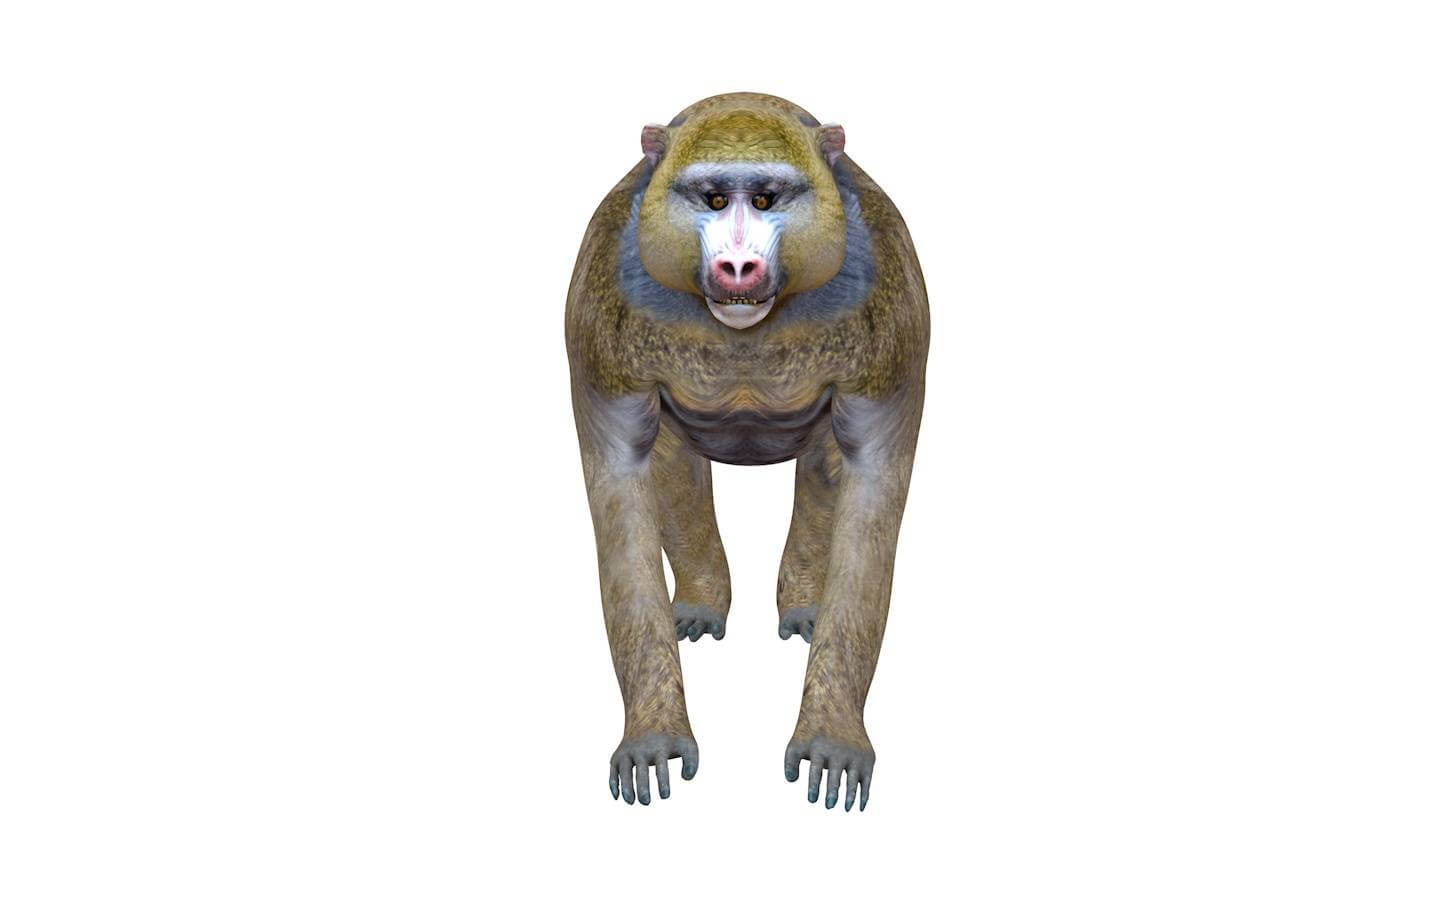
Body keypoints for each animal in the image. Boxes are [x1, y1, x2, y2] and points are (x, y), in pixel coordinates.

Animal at [565, 93, 928, 811]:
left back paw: (805, 601)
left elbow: (872, 479)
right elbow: (621, 478)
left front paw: (833, 736)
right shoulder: (600, 312)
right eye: (712, 199)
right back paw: (704, 598)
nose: (738, 265)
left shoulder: (892, 312)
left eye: (765, 199)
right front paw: (652, 734)